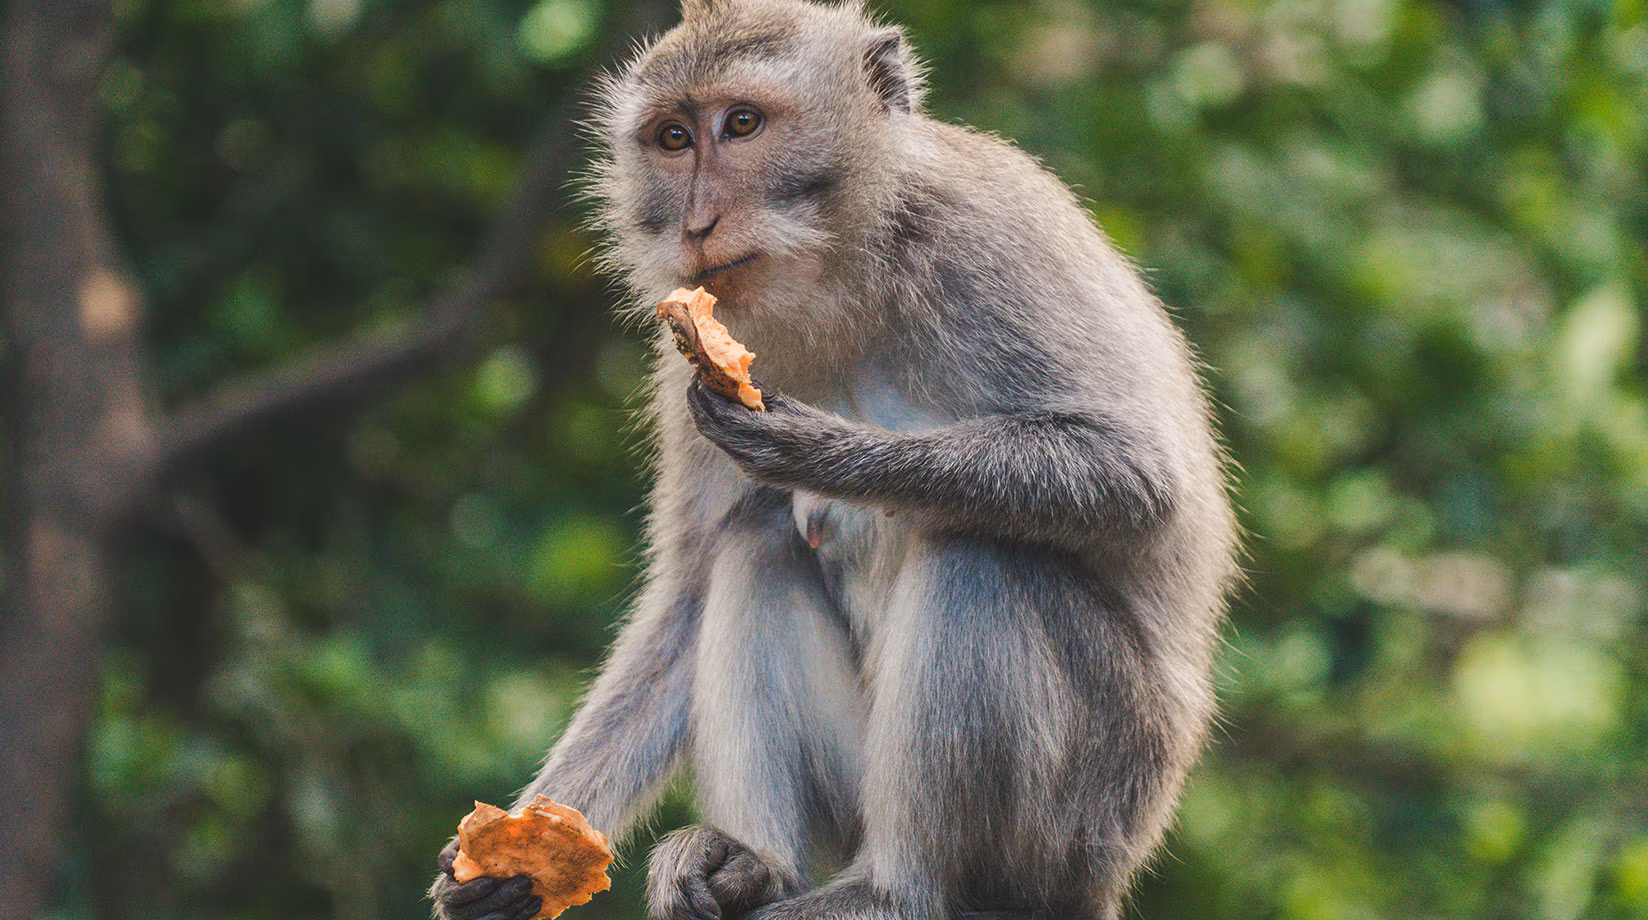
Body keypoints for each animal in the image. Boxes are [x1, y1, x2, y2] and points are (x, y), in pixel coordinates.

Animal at [430, 1, 1240, 919]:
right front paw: (516, 858)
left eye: (743, 125)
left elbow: (1138, 475)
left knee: (978, 553)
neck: (842, 271)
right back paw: (757, 866)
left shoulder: (988, 239)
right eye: (674, 138)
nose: (696, 223)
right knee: (756, 542)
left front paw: (814, 450)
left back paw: (894, 889)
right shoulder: (688, 354)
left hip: (1086, 815)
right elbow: (688, 595)